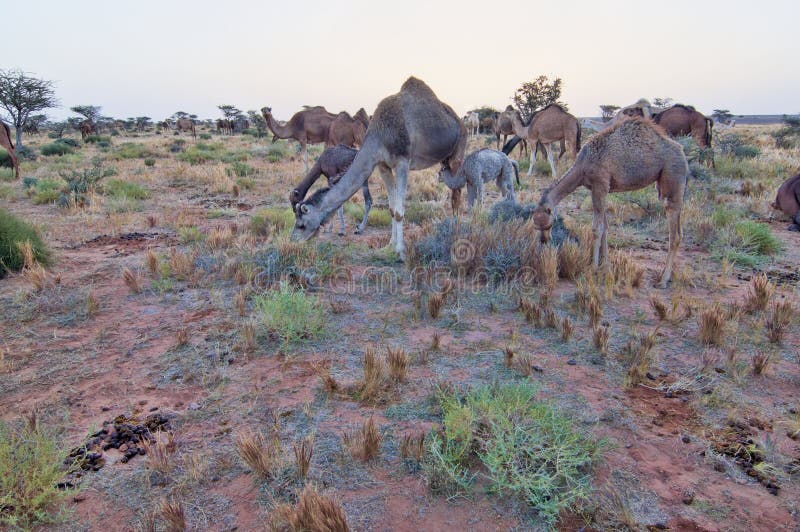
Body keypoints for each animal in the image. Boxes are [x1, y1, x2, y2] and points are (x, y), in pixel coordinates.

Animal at [291, 77, 466, 259]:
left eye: (301, 224)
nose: (292, 240)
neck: (380, 134)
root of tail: (459, 120)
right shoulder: (383, 165)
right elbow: (391, 209)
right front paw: (389, 247)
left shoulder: (402, 163)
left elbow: (399, 211)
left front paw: (401, 252)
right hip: (444, 159)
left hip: (459, 147)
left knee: (457, 195)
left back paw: (455, 233)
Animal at [532, 118, 688, 288]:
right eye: (536, 227)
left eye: (549, 225)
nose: (544, 242)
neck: (583, 166)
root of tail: (683, 154)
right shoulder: (600, 188)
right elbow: (605, 227)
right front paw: (605, 265)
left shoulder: (600, 185)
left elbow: (596, 229)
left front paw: (592, 267)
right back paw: (666, 276)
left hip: (673, 177)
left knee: (674, 232)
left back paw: (663, 280)